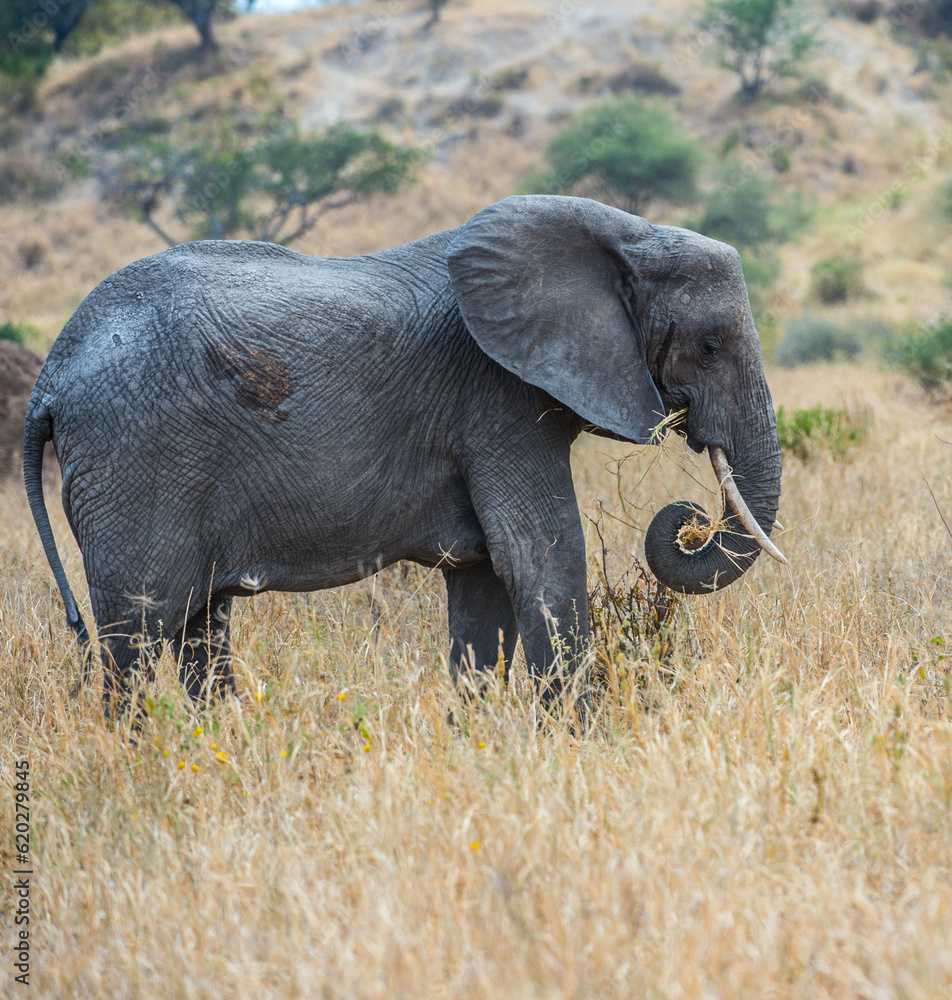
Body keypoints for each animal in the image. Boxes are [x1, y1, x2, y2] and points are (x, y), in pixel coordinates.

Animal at [23, 194, 784, 714]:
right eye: (711, 344)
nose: (690, 519)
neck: (626, 234)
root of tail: (49, 381)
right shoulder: (496, 398)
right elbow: (542, 553)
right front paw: (579, 743)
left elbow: (484, 579)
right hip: (134, 461)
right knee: (135, 639)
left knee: (200, 630)